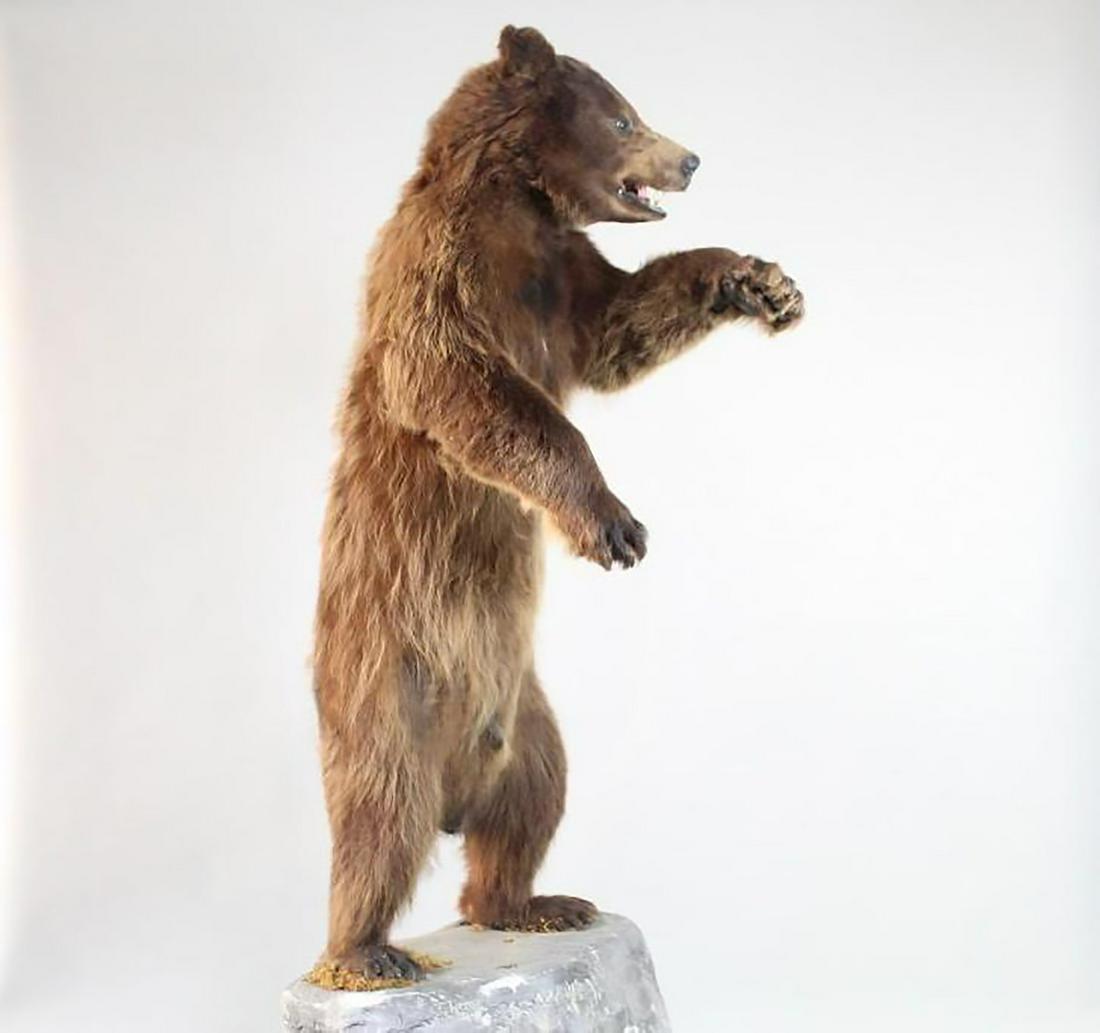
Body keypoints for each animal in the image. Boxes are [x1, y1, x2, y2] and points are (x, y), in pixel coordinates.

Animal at [311, 24, 803, 983]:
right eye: (623, 116)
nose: (691, 157)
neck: (519, 210)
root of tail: (455, 790)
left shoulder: (562, 282)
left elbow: (624, 322)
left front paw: (761, 282)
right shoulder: (441, 270)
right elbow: (469, 387)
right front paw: (616, 523)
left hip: (527, 715)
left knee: (530, 805)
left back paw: (536, 902)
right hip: (385, 682)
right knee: (377, 820)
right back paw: (367, 952)